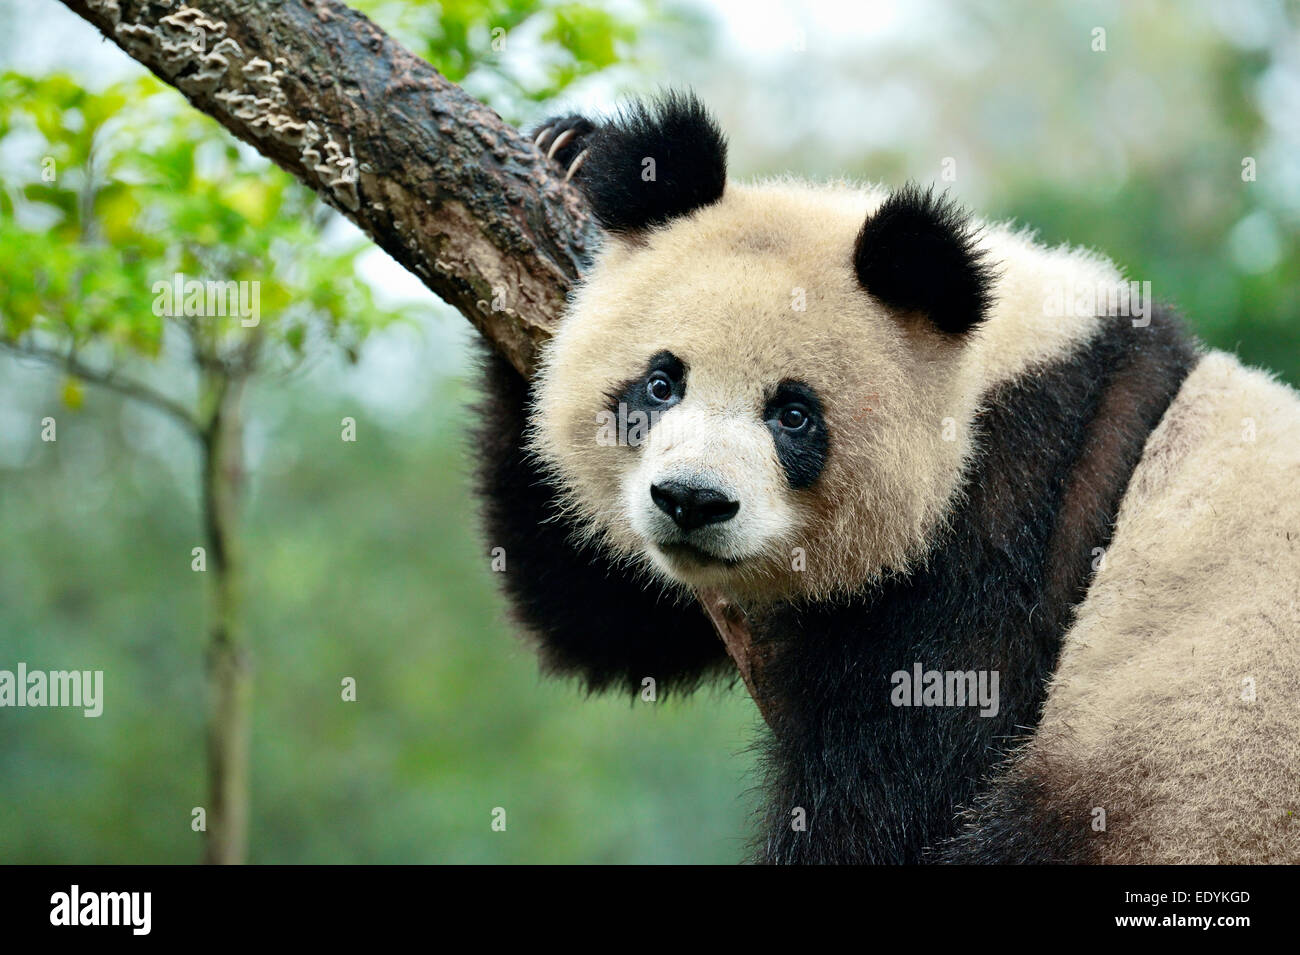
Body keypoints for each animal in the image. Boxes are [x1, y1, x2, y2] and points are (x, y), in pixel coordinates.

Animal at [474, 91, 1300, 864]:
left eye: (795, 414)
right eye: (660, 383)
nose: (692, 501)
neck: (986, 367)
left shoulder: (1019, 507)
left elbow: (902, 779)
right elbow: (605, 613)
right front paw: (571, 146)